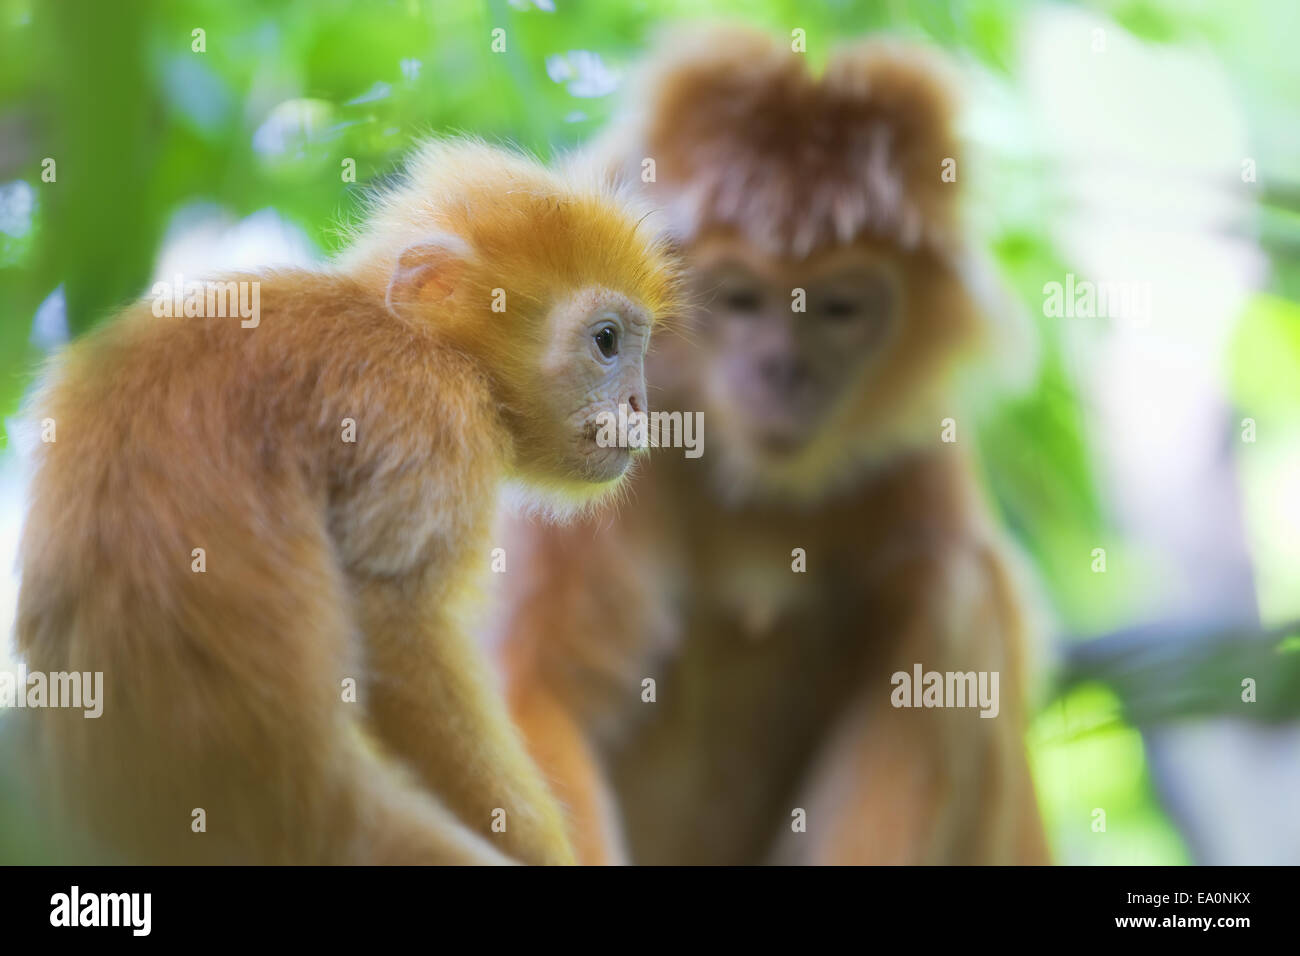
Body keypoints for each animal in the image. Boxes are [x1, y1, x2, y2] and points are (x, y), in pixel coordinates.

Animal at [492, 26, 1050, 865]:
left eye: (840, 308)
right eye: (740, 300)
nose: (785, 372)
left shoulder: (914, 448)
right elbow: (538, 688)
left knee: (953, 597)